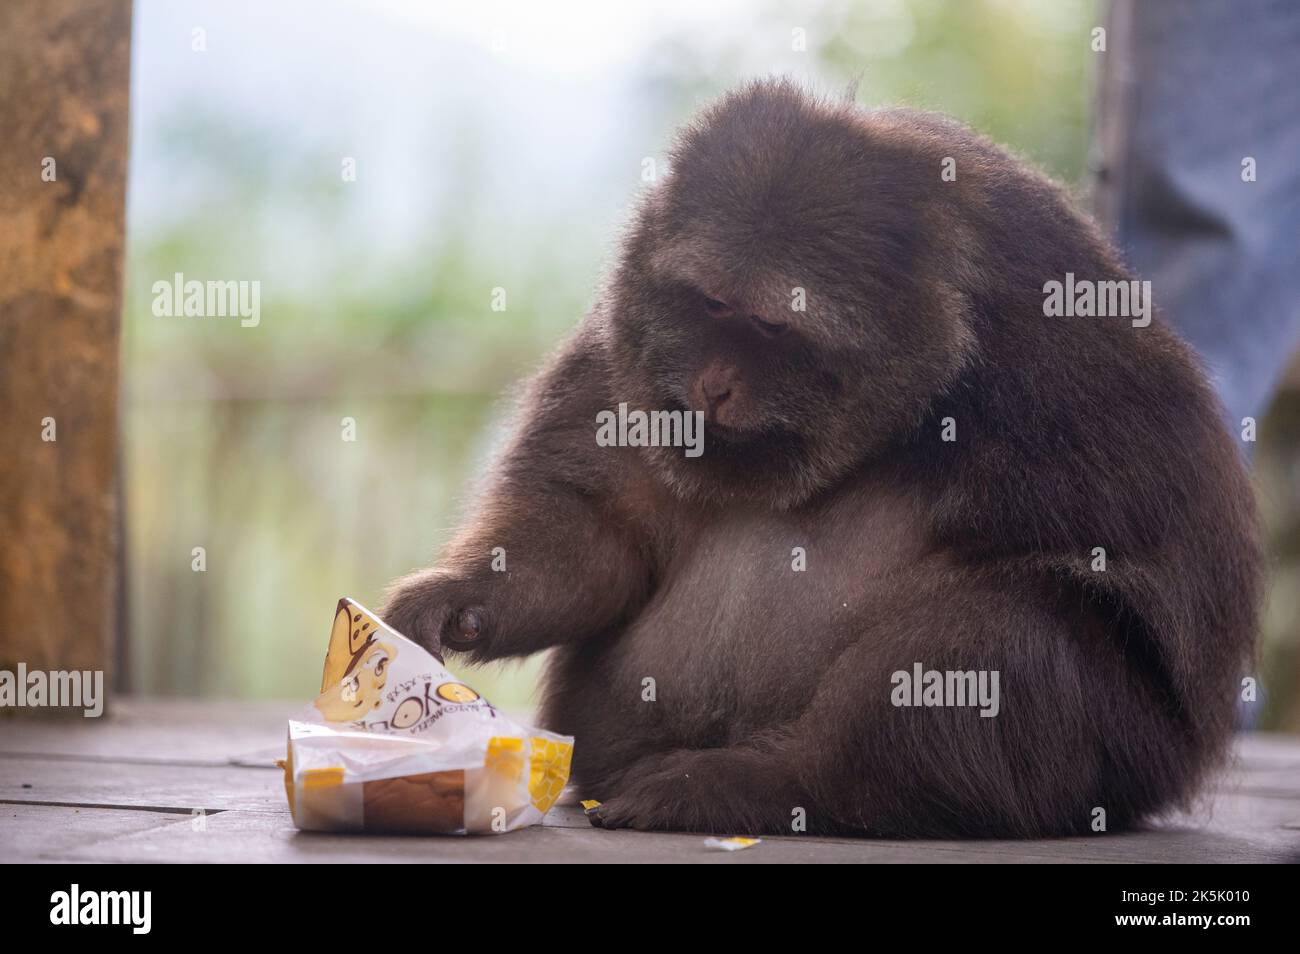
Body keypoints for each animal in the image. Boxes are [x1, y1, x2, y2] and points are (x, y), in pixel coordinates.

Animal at [382, 79, 1262, 838]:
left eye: (773, 326)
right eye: (711, 303)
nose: (714, 384)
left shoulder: (1056, 335)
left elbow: (1132, 587)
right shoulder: (626, 344)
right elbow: (602, 538)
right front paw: (464, 599)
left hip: (1128, 762)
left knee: (1013, 626)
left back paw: (771, 784)